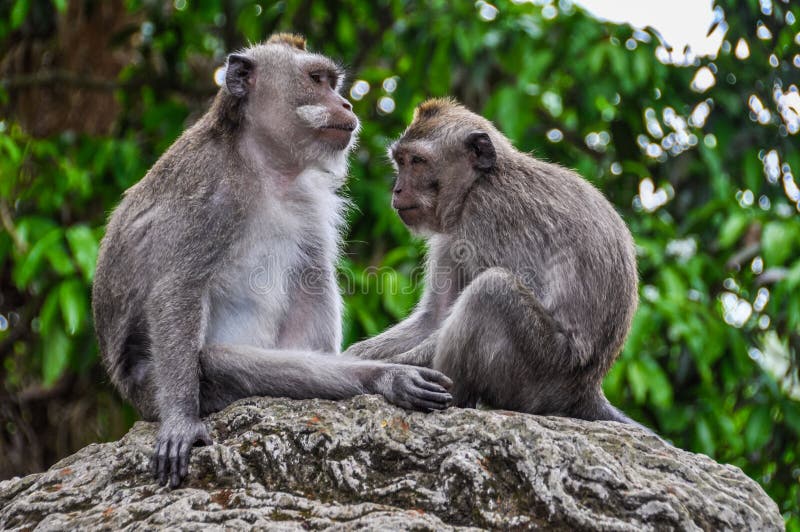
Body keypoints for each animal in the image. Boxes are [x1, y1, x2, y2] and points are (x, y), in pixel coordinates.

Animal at [92, 35, 453, 489]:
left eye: (332, 82)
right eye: (316, 80)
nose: (346, 104)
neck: (264, 165)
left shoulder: (308, 200)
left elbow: (312, 276)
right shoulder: (204, 191)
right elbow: (177, 290)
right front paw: (180, 420)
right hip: (146, 386)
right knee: (218, 361)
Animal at [344, 98, 640, 425]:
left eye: (418, 161)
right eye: (400, 161)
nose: (397, 190)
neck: (479, 182)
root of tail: (586, 390)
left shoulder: (490, 217)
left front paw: (394, 373)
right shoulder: (453, 234)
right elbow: (435, 316)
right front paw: (353, 360)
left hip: (542, 372)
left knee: (493, 289)